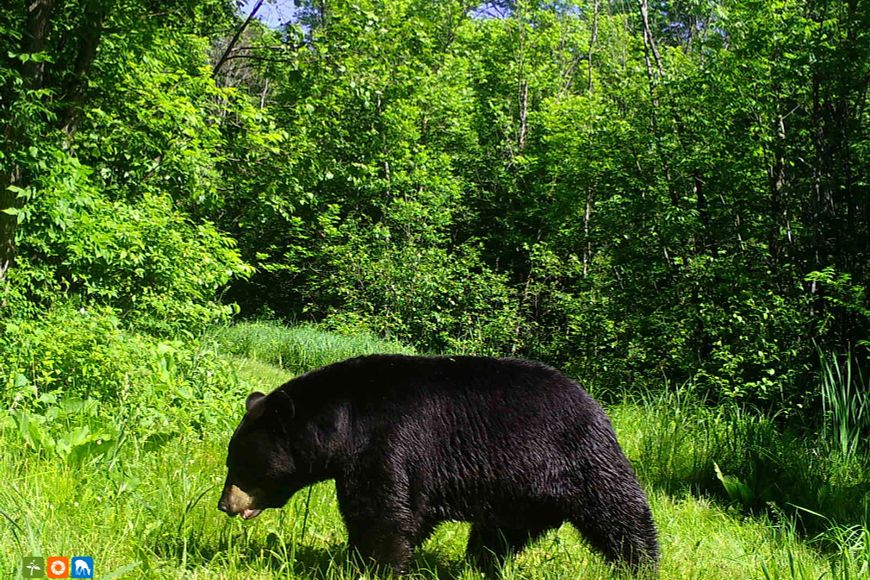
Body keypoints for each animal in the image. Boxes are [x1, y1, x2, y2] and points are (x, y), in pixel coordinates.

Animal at [218, 354, 658, 574]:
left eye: (239, 465)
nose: (225, 504)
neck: (345, 420)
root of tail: (598, 408)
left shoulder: (389, 443)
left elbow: (381, 514)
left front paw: (369, 565)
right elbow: (407, 516)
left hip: (580, 460)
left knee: (621, 515)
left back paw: (640, 565)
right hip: (519, 493)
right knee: (498, 535)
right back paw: (478, 565)